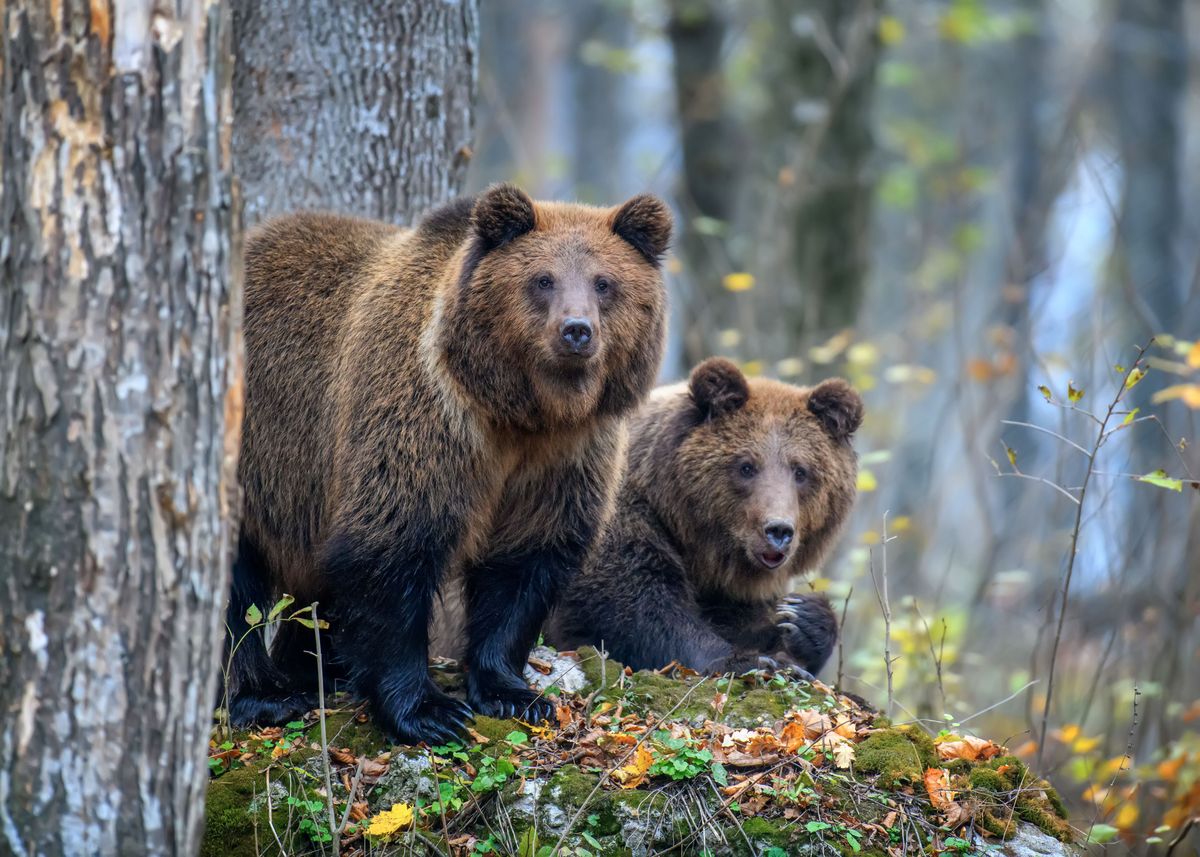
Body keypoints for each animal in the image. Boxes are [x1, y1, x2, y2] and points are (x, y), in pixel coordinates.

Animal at [227, 184, 672, 744]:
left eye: (604, 282)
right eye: (542, 279)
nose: (576, 330)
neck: (519, 414)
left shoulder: (563, 459)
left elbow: (522, 568)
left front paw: (514, 694)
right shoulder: (427, 423)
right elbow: (390, 550)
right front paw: (428, 711)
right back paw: (265, 694)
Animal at [547, 357, 862, 677]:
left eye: (801, 471)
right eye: (746, 466)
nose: (778, 530)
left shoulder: (732, 588)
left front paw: (804, 620)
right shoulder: (618, 512)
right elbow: (631, 602)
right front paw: (744, 659)